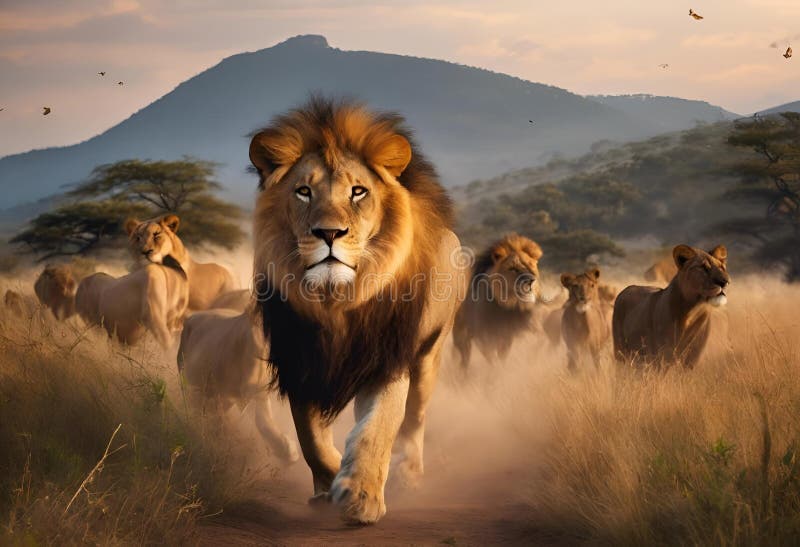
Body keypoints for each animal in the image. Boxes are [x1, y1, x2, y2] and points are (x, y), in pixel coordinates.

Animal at [76, 217, 190, 348]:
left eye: (156, 235)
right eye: (138, 237)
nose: (145, 252)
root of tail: (82, 282)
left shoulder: (172, 321)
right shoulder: (152, 313)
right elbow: (166, 343)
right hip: (94, 323)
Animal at [249, 97, 465, 524]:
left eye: (358, 192)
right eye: (303, 191)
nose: (329, 233)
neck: (336, 301)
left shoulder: (386, 359)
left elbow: (377, 428)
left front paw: (360, 496)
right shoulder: (302, 360)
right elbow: (310, 440)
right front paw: (328, 484)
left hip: (430, 352)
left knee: (415, 419)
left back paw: (408, 475)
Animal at [452, 233, 543, 368]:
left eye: (530, 265)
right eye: (513, 268)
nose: (530, 280)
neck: (509, 306)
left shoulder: (507, 335)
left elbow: (502, 356)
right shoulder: (483, 335)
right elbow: (491, 358)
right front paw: (495, 371)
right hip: (461, 331)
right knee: (463, 354)